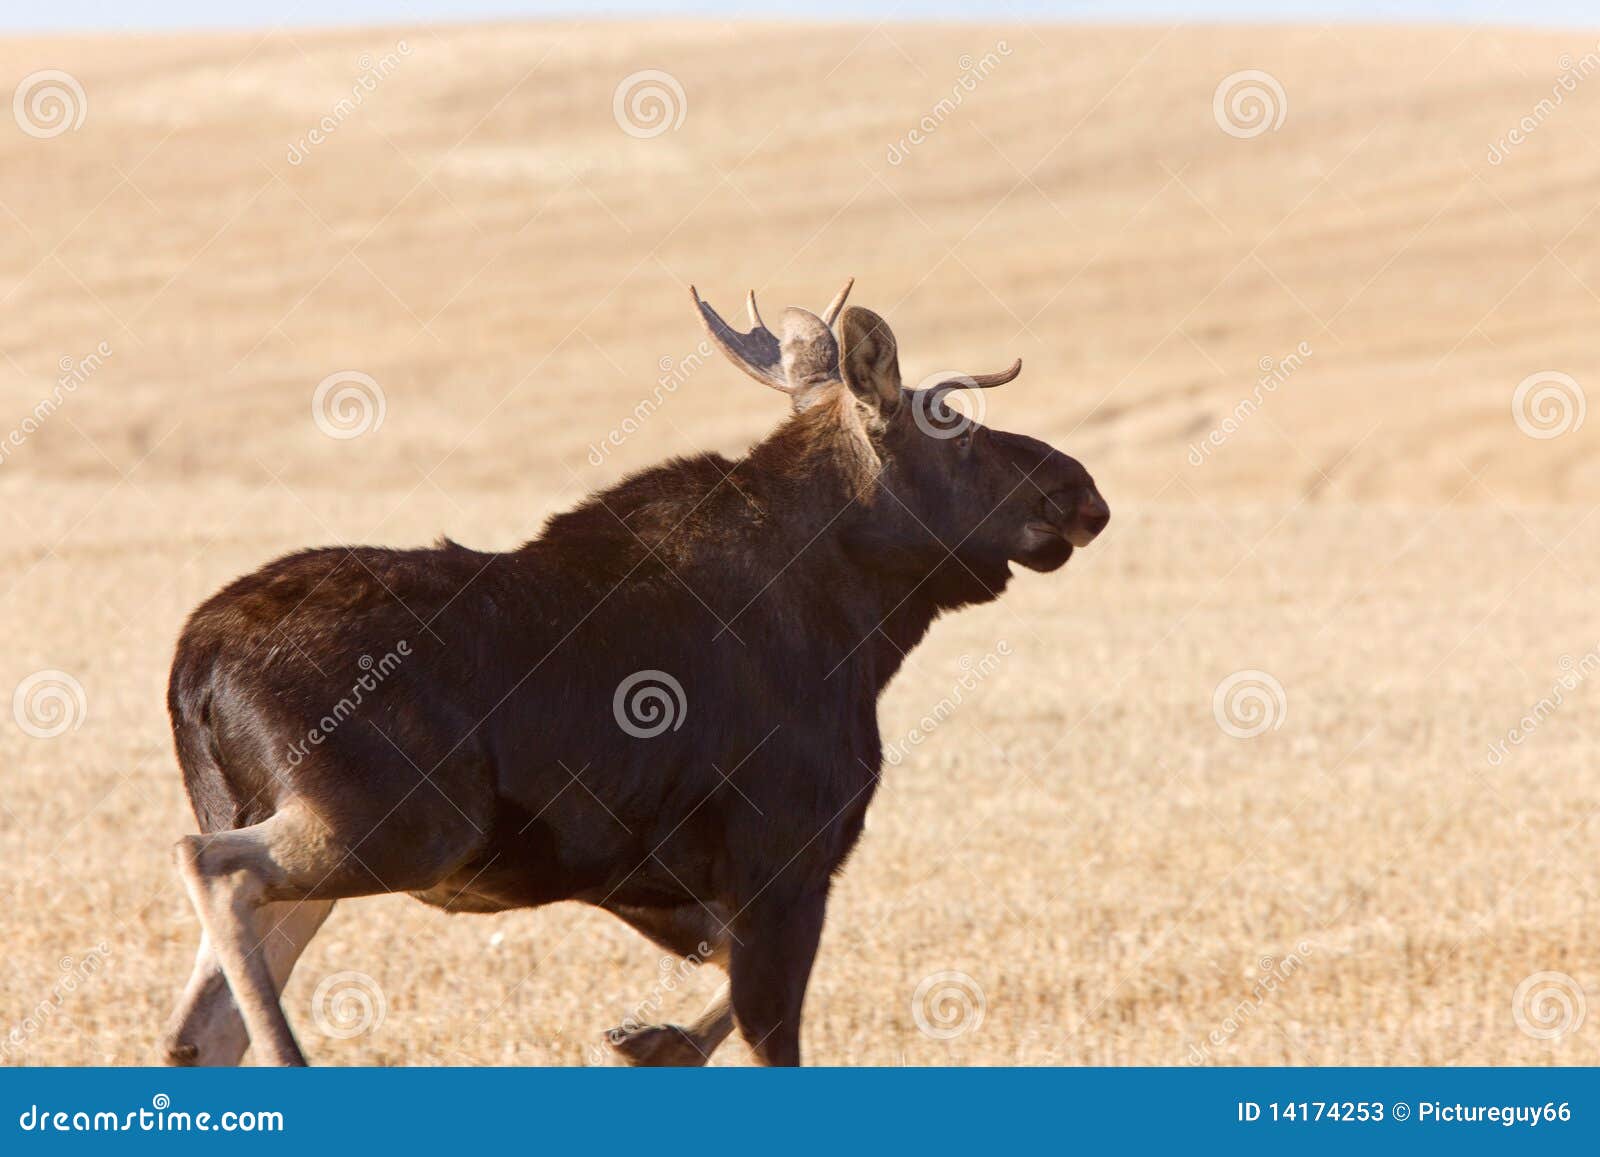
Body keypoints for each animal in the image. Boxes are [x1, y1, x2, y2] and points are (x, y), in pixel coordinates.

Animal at [159, 279, 1110, 1067]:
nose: (1082, 492)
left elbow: (717, 988)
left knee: (199, 1027)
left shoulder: (670, 883)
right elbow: (768, 1029)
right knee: (213, 870)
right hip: (401, 823)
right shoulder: (785, 855)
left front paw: (652, 1038)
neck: (863, 635)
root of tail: (193, 665)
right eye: (960, 430)